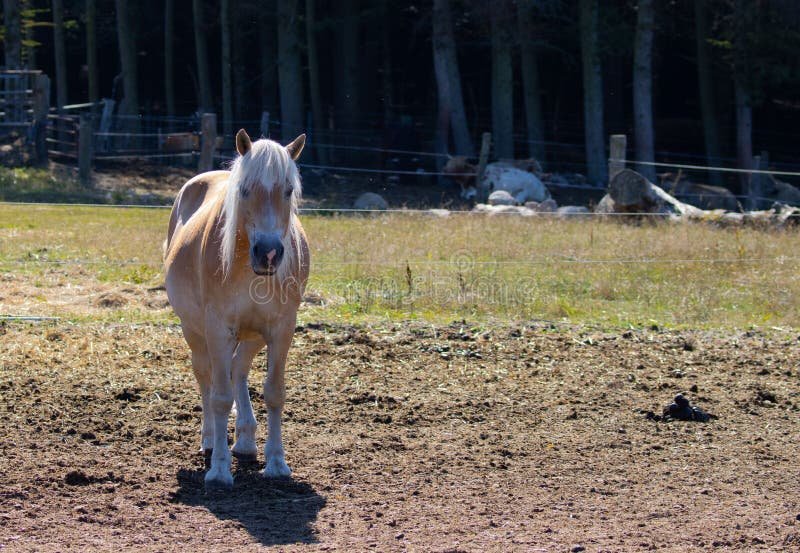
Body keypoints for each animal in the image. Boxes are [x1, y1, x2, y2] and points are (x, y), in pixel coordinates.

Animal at [163, 129, 309, 488]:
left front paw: (277, 463)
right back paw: (209, 440)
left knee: (239, 370)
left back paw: (244, 441)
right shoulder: (218, 329)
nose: (269, 253)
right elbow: (219, 397)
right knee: (206, 378)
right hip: (195, 332)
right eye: (244, 189)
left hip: (252, 336)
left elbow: (274, 392)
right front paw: (219, 469)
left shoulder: (281, 328)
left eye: (288, 190)